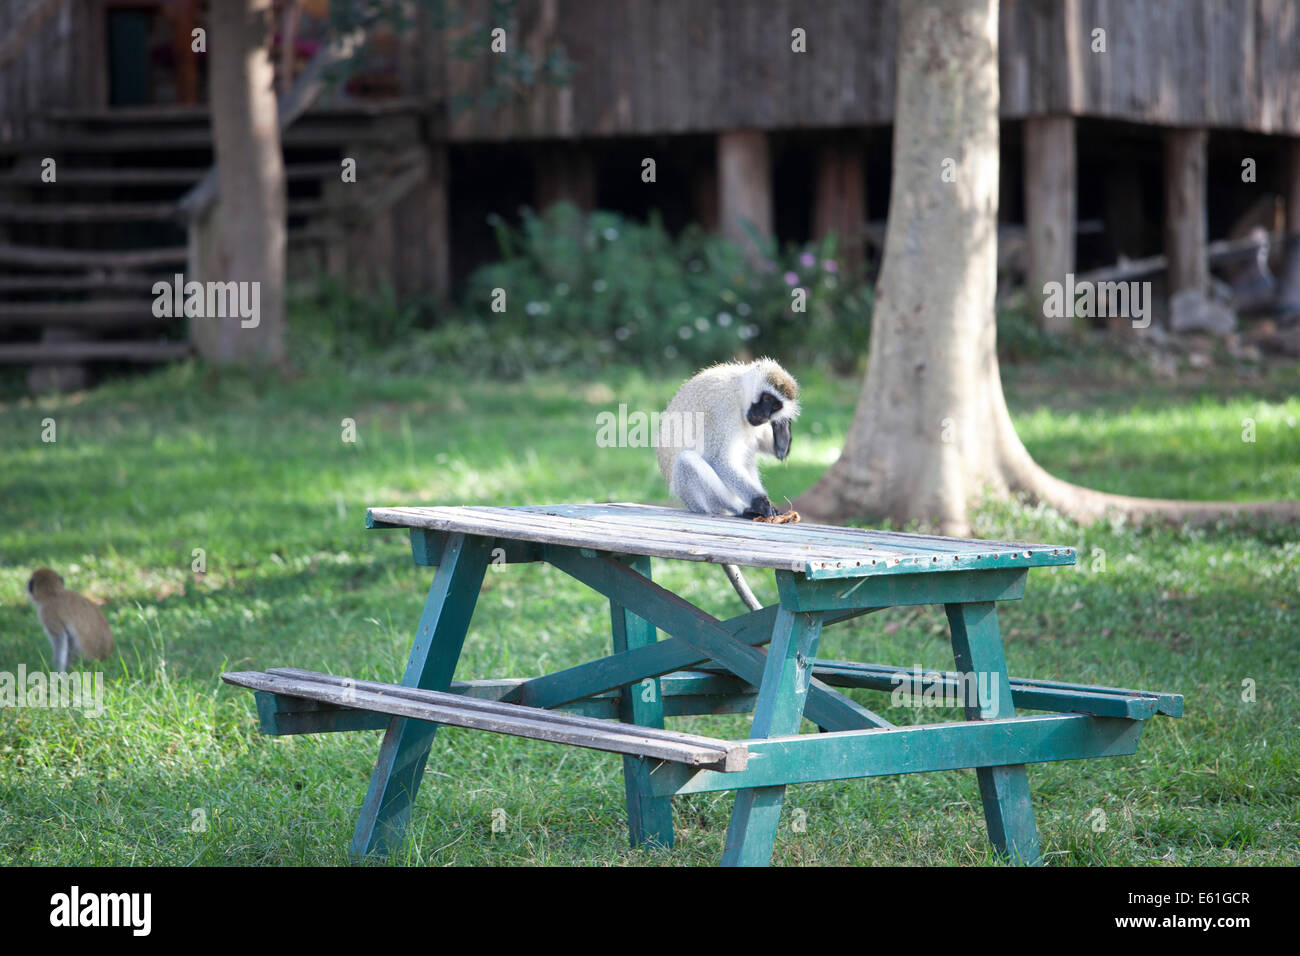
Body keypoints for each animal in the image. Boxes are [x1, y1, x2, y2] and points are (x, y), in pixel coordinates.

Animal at [656, 358, 801, 610]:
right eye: (766, 399)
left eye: (775, 405)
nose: (765, 415)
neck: (740, 391)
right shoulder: (722, 407)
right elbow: (718, 459)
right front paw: (762, 504)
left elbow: (766, 448)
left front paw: (782, 432)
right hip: (697, 499)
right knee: (687, 462)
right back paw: (745, 510)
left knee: (747, 451)